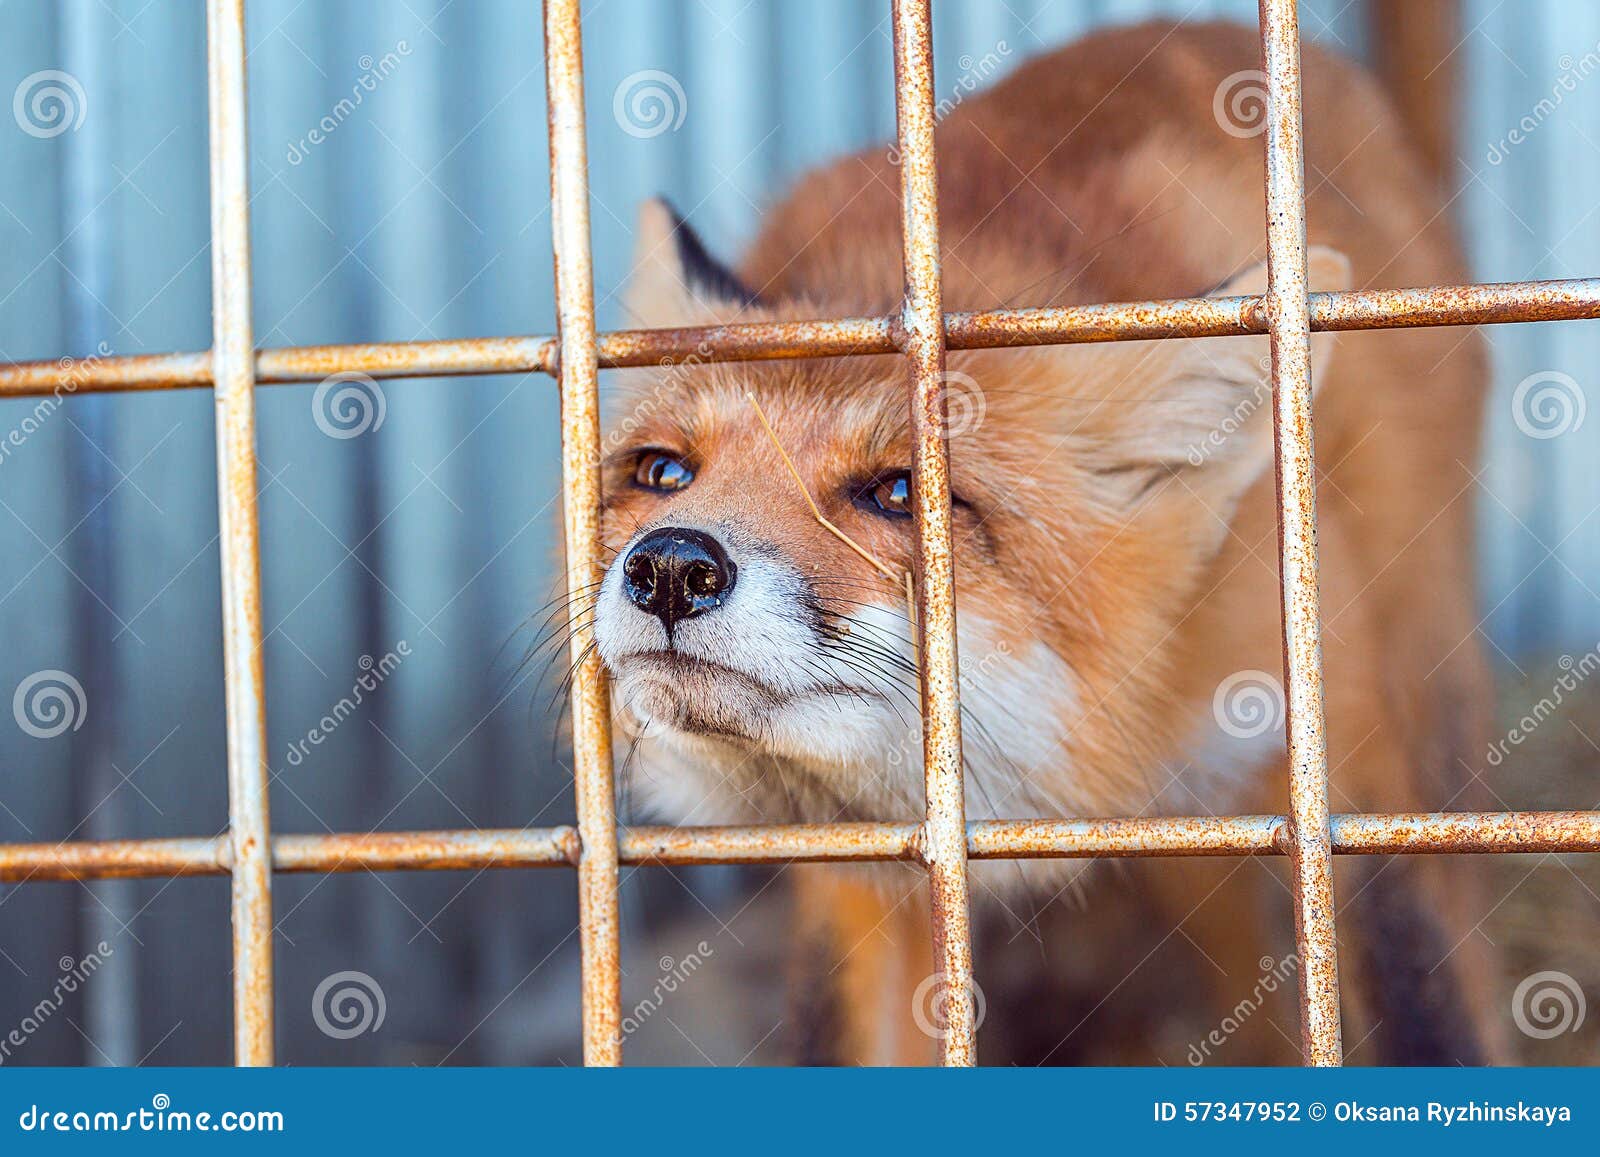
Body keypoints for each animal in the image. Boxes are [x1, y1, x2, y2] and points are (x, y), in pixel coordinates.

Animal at [587, 20, 1506, 1065]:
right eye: (664, 472)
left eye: (900, 492)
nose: (670, 568)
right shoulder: (865, 880)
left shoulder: (1343, 756)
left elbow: (1423, 1002)